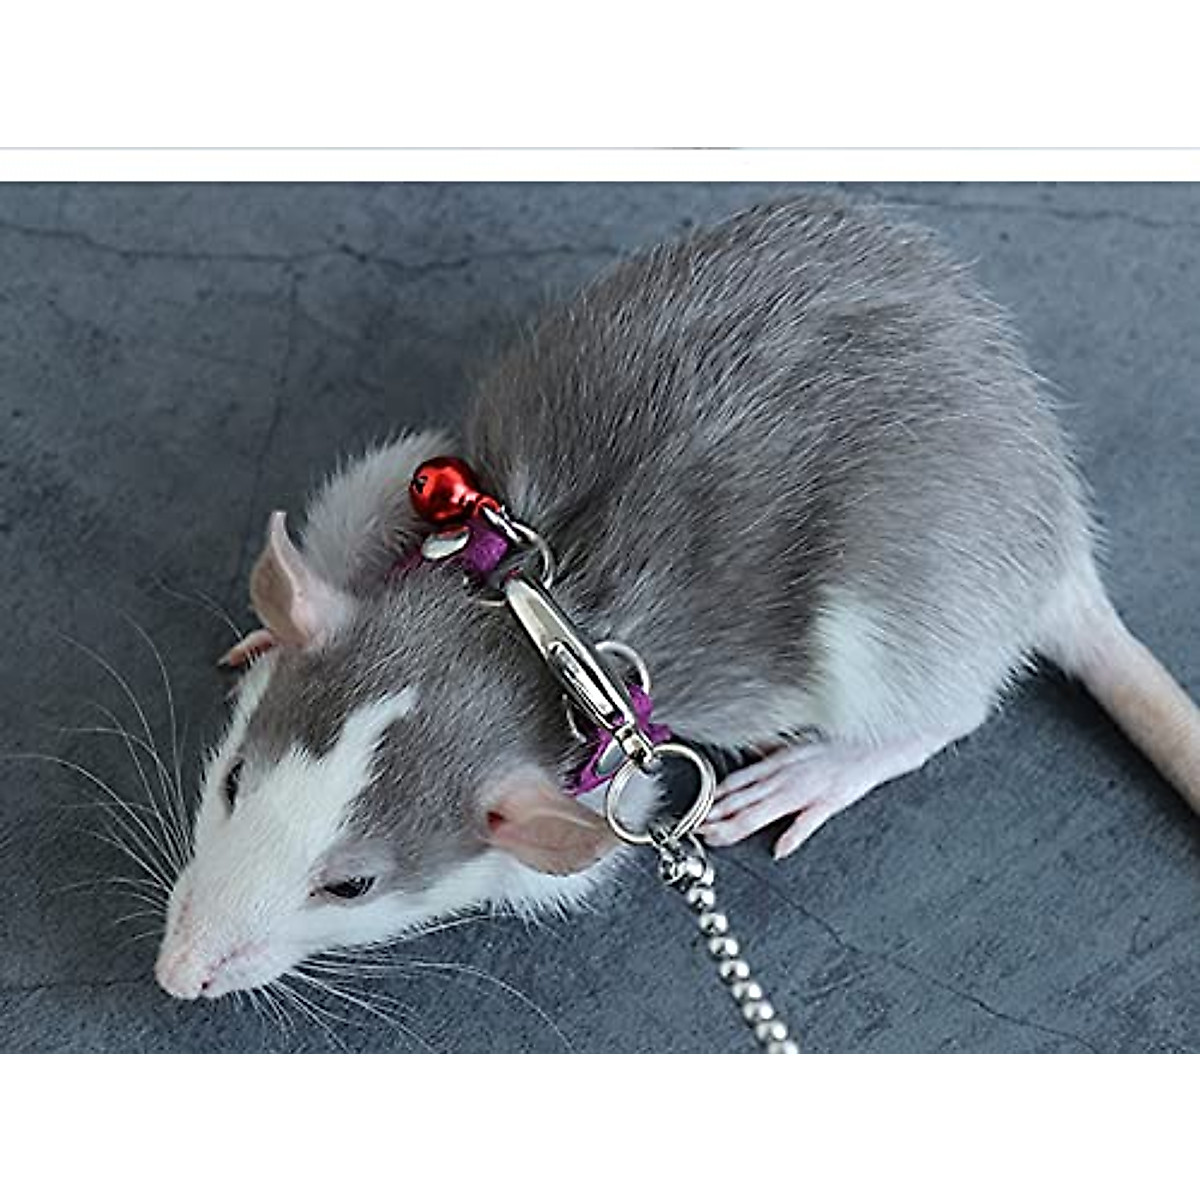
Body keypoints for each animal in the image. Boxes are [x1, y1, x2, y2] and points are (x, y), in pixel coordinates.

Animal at [155, 194, 1200, 1002]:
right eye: (234, 780)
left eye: (353, 887)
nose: (178, 973)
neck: (527, 625)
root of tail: (1057, 529)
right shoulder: (403, 492)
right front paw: (263, 637)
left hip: (901, 610)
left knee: (942, 711)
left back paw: (826, 768)